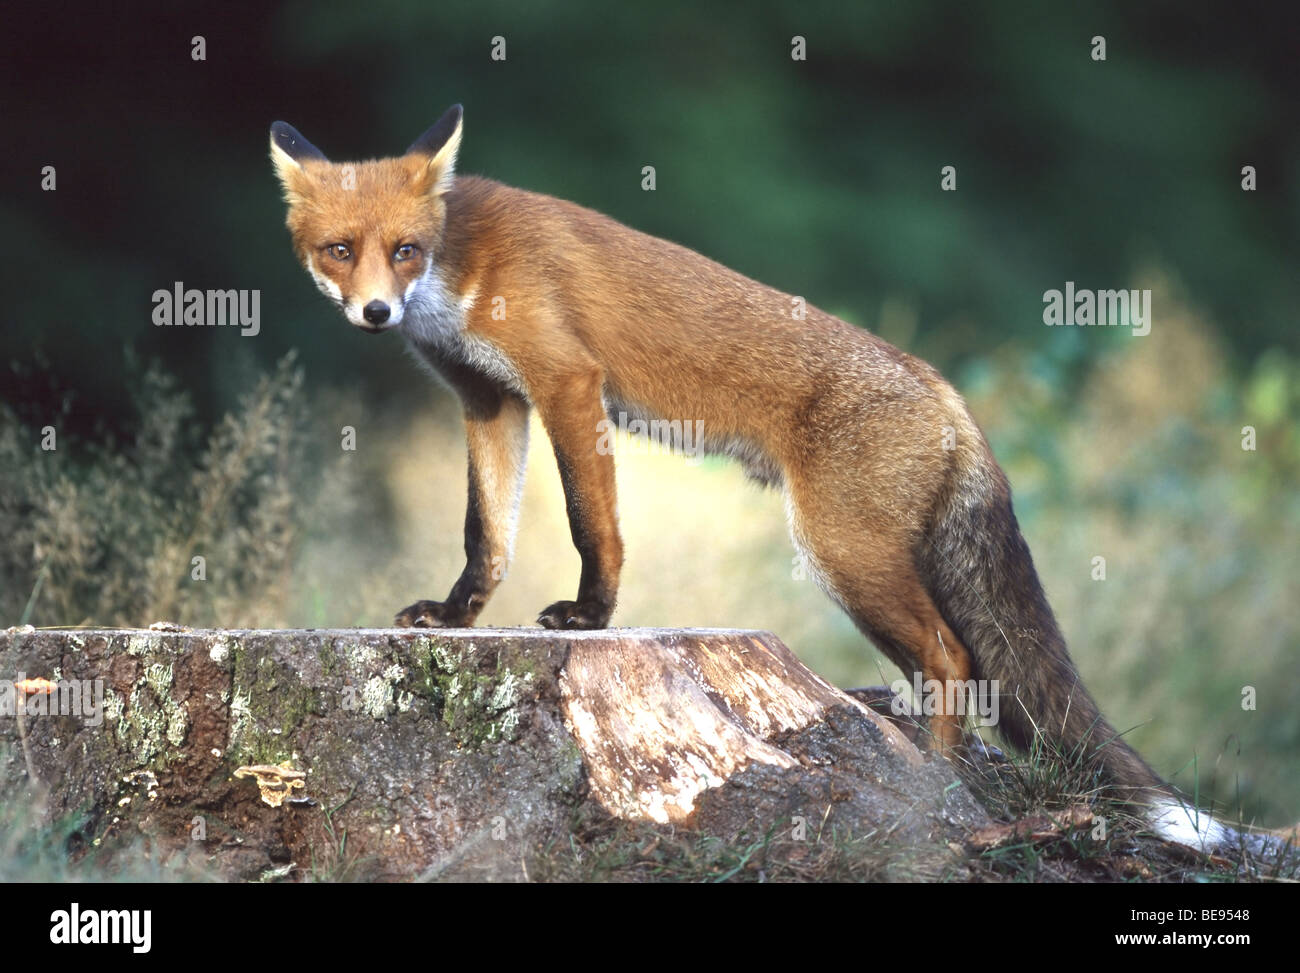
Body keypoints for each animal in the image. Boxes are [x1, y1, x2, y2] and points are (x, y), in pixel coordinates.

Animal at [269, 104, 1250, 851]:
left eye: (404, 248)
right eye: (339, 249)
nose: (376, 312)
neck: (460, 269)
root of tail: (947, 391)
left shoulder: (566, 384)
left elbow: (592, 523)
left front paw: (590, 615)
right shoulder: (488, 400)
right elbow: (486, 533)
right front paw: (457, 614)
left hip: (840, 555)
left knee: (956, 656)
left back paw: (936, 786)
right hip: (861, 568)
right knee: (952, 667)